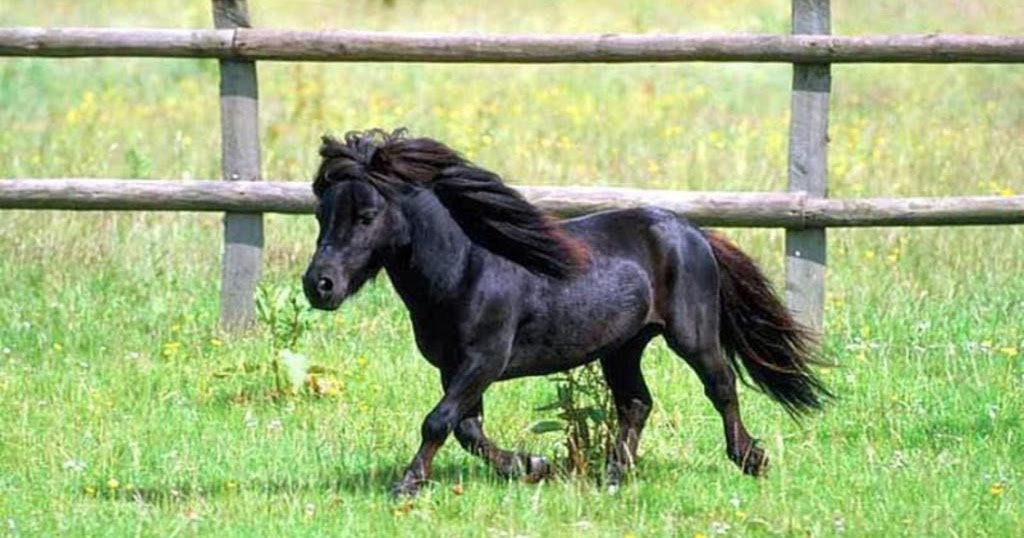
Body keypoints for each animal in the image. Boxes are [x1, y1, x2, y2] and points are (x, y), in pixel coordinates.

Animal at [302, 128, 831, 497]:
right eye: (321, 214)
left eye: (366, 216)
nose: (318, 286)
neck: (465, 270)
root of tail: (692, 231)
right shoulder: (453, 367)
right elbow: (467, 429)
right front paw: (533, 466)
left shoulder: (483, 361)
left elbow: (438, 421)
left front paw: (408, 484)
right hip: (623, 346)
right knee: (636, 403)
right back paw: (615, 476)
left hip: (692, 335)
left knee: (720, 386)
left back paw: (750, 459)